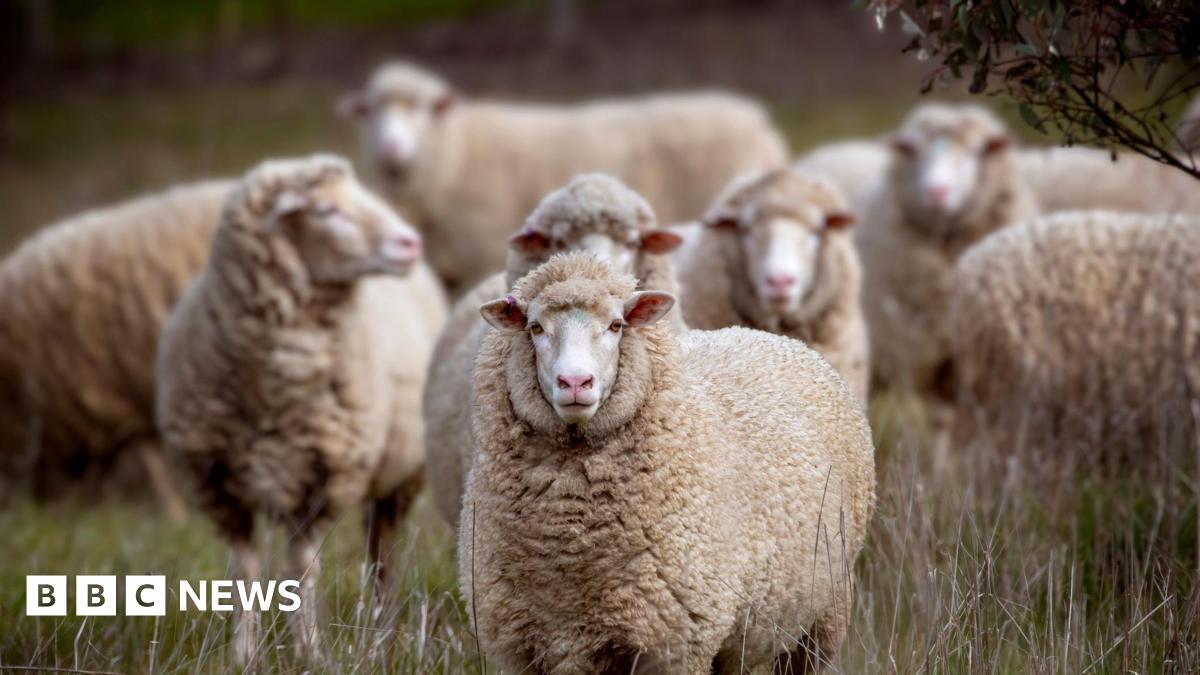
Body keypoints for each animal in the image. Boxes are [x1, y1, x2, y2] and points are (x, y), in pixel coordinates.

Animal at [155, 154, 447, 662]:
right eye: (327, 210)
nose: (411, 242)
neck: (274, 385)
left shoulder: (320, 480)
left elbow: (302, 571)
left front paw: (310, 653)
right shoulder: (220, 488)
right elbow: (244, 574)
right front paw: (243, 655)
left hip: (398, 478)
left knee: (383, 556)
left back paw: (385, 634)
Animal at [338, 60, 789, 290]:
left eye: (423, 109)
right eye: (371, 111)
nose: (390, 146)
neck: (455, 150)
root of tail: (758, 118)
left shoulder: (475, 256)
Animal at [459, 252, 876, 674]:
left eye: (616, 325)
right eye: (536, 327)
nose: (575, 382)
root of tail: (768, 336)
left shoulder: (675, 644)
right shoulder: (522, 649)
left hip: (823, 615)